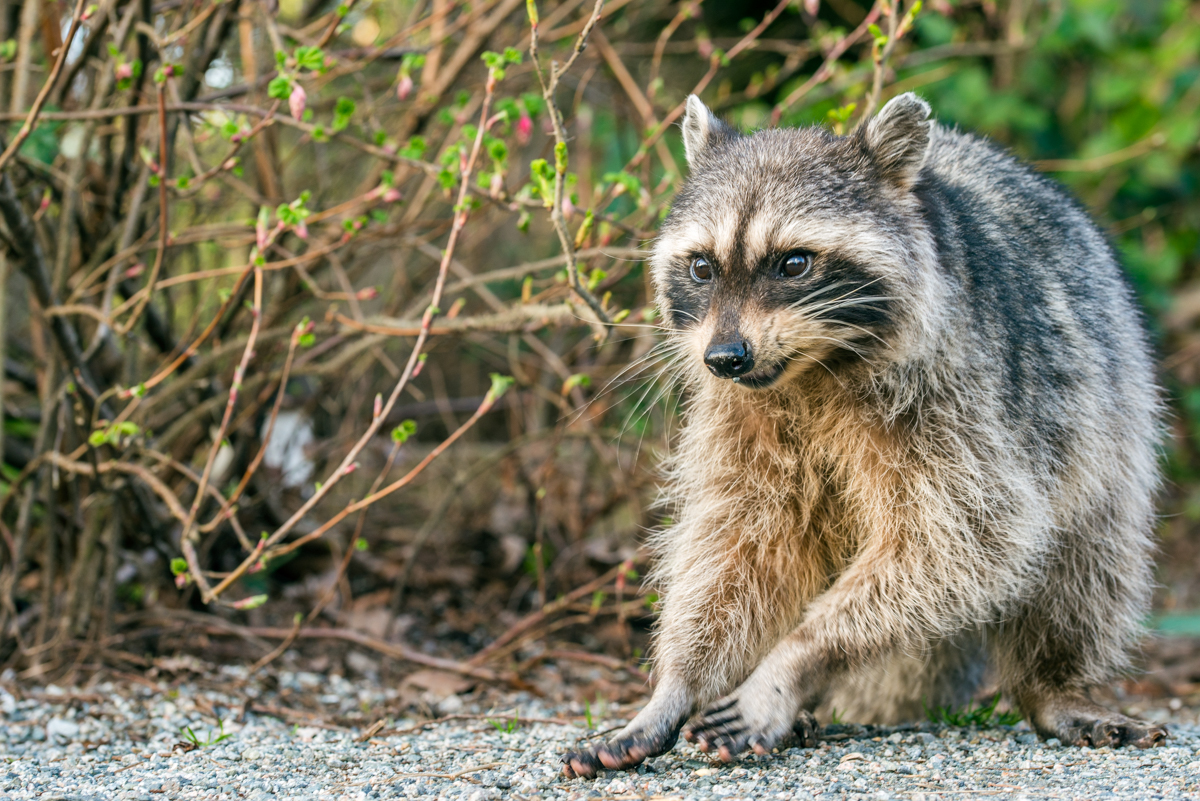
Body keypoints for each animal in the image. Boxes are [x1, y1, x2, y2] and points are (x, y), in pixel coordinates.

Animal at [561, 93, 1167, 779]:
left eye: (793, 263)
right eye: (701, 267)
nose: (725, 358)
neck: (810, 368)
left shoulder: (957, 393)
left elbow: (962, 539)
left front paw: (794, 661)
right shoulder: (737, 417)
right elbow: (736, 546)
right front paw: (677, 685)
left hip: (1103, 412)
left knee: (1086, 560)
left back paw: (1052, 685)